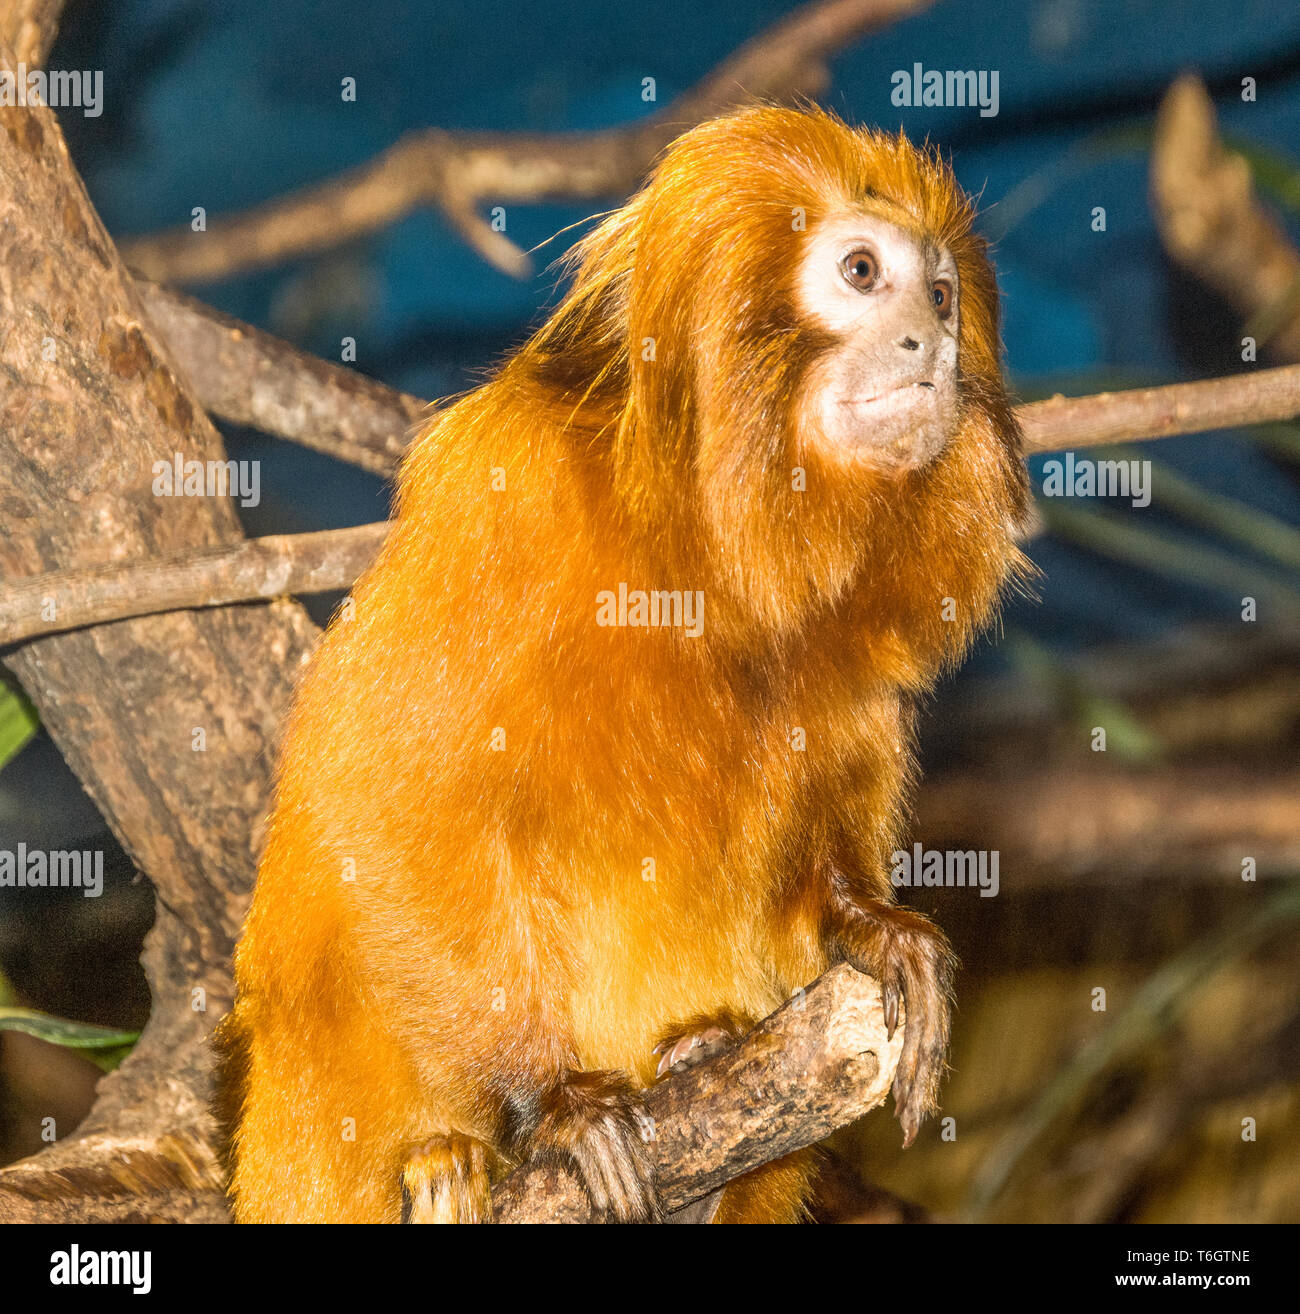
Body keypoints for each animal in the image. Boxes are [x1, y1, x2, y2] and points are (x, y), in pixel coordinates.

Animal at [218, 104, 1029, 1224]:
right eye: (862, 272)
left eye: (942, 295)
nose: (929, 346)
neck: (700, 555)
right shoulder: (504, 499)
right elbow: (386, 795)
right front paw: (555, 1096)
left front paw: (869, 926)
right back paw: (446, 1162)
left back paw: (698, 1053)